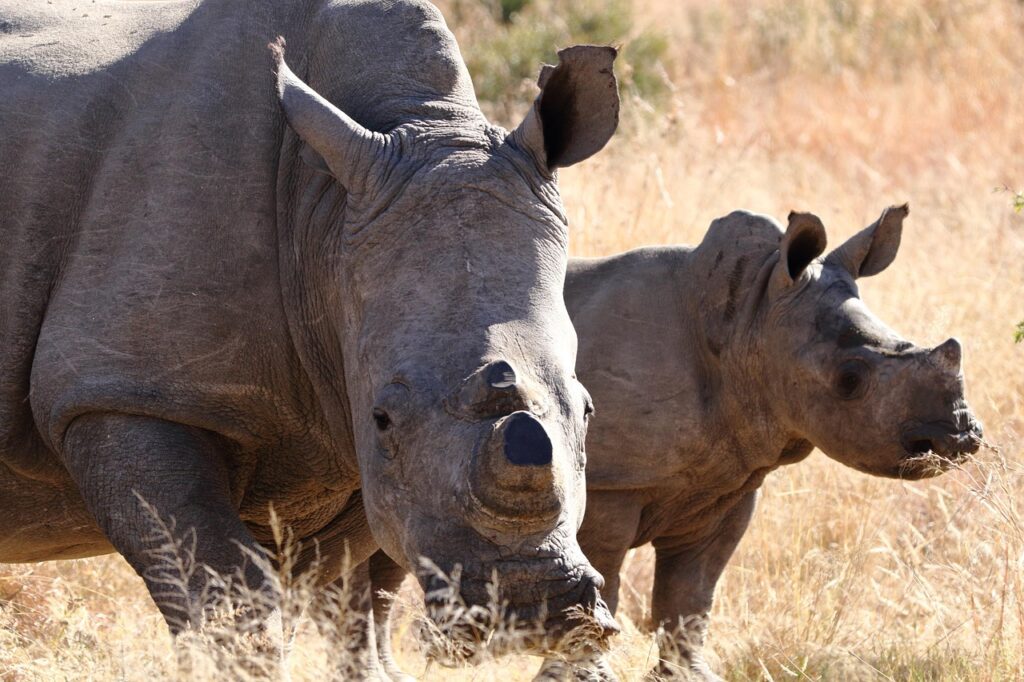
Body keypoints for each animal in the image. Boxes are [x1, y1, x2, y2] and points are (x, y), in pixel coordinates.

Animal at [0, 0, 620, 659]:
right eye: (383, 418)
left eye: (587, 411)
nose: (533, 614)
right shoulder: (123, 391)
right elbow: (225, 596)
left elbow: (362, 609)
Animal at [365, 206, 984, 680]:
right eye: (850, 379)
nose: (961, 436)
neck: (749, 324)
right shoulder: (608, 483)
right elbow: (608, 581)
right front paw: (580, 674)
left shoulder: (730, 481)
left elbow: (691, 596)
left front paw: (689, 675)